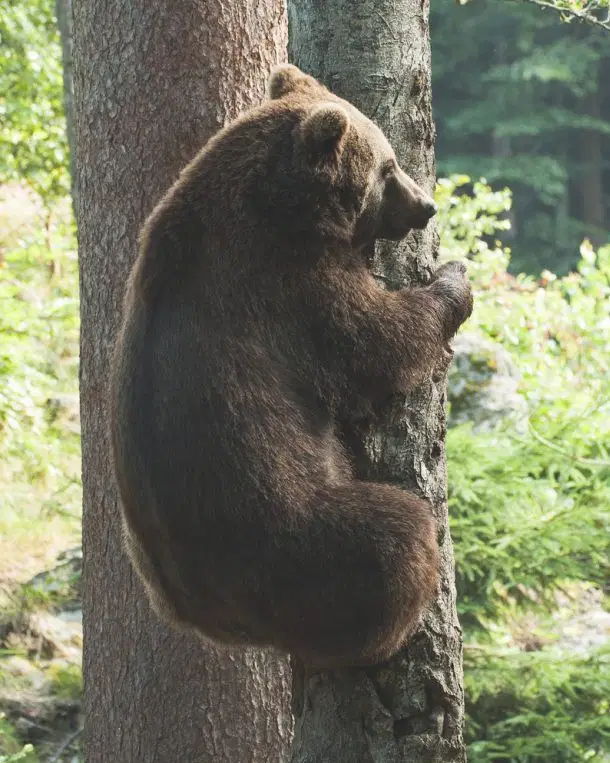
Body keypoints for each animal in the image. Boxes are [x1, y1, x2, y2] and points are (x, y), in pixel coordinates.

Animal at [110, 64, 473, 668]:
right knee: (394, 535)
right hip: (292, 531)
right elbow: (376, 341)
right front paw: (454, 281)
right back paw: (392, 627)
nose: (427, 206)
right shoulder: (291, 285)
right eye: (388, 167)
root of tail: (220, 615)